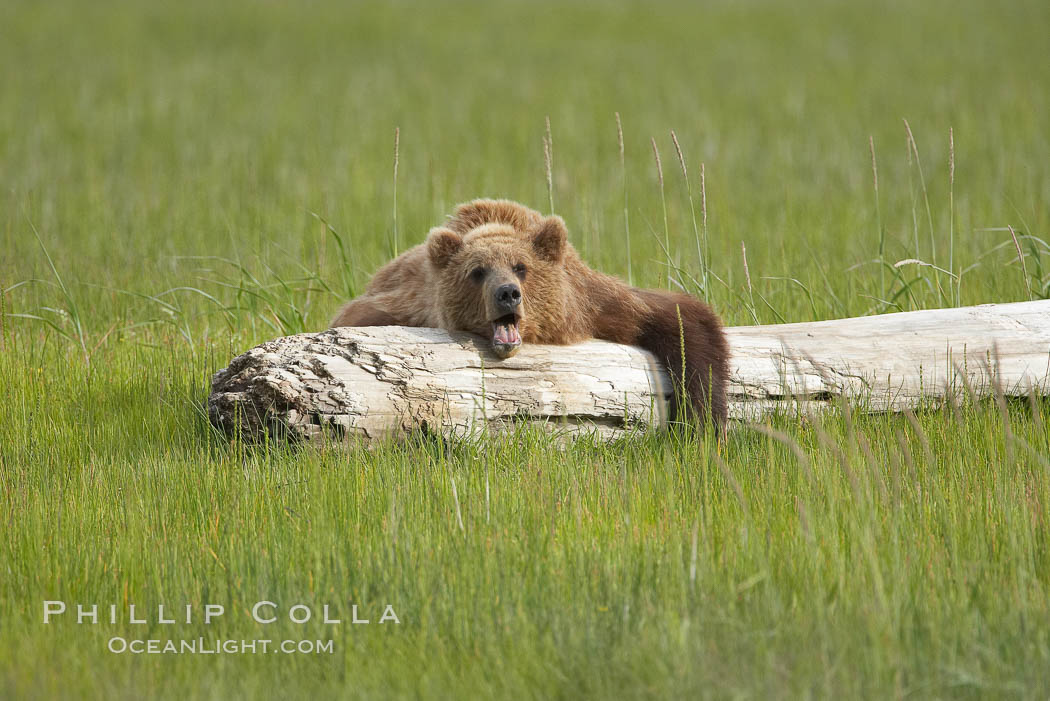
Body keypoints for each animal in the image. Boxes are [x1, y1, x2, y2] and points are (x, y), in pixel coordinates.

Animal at [331, 198, 726, 428]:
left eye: (521, 267)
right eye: (477, 271)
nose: (507, 294)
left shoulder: (591, 304)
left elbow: (682, 320)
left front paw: (702, 426)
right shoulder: (404, 305)